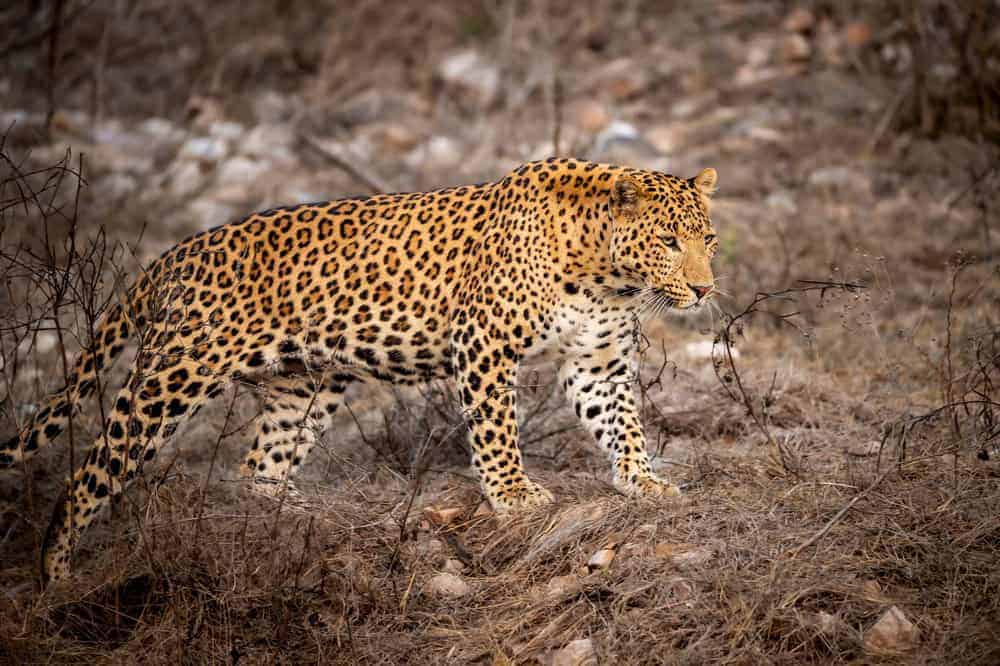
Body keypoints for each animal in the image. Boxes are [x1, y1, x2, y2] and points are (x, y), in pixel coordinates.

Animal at [1, 157, 719, 583]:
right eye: (668, 242)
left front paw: (643, 481)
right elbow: (495, 432)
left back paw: (295, 520)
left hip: (306, 383)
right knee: (90, 474)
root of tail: (175, 254)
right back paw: (55, 578)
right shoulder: (485, 345)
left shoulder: (597, 361)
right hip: (174, 377)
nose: (706, 289)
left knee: (258, 465)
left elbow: (622, 423)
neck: (607, 272)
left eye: (707, 240)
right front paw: (514, 497)